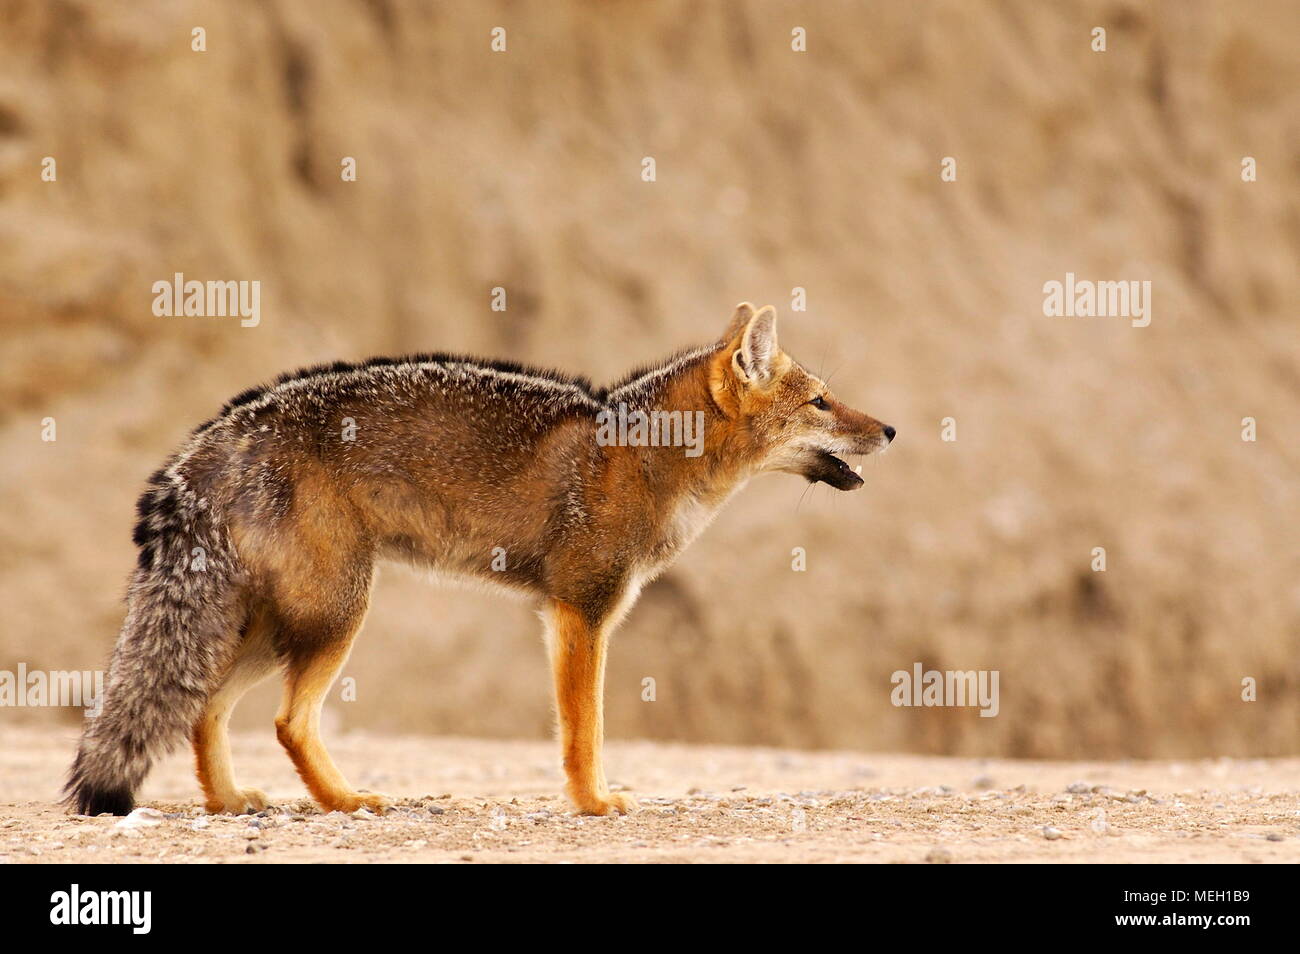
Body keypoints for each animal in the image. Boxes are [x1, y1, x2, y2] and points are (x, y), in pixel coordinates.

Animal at [66, 302, 894, 817]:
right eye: (822, 401)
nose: (890, 430)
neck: (643, 456)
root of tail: (213, 435)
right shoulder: (581, 612)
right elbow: (585, 731)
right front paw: (593, 803)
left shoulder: (568, 616)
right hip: (335, 617)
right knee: (286, 722)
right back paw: (345, 802)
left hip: (276, 629)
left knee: (205, 707)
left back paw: (232, 802)